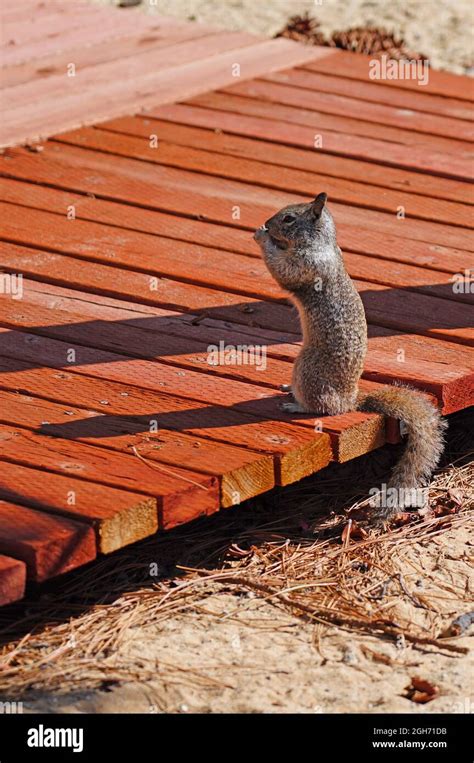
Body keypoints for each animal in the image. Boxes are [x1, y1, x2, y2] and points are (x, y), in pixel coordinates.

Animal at [254, 193, 447, 521]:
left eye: (289, 219)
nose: (268, 222)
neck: (321, 243)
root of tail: (351, 400)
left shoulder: (307, 266)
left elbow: (285, 272)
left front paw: (262, 237)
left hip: (308, 368)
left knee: (326, 408)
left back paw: (298, 405)